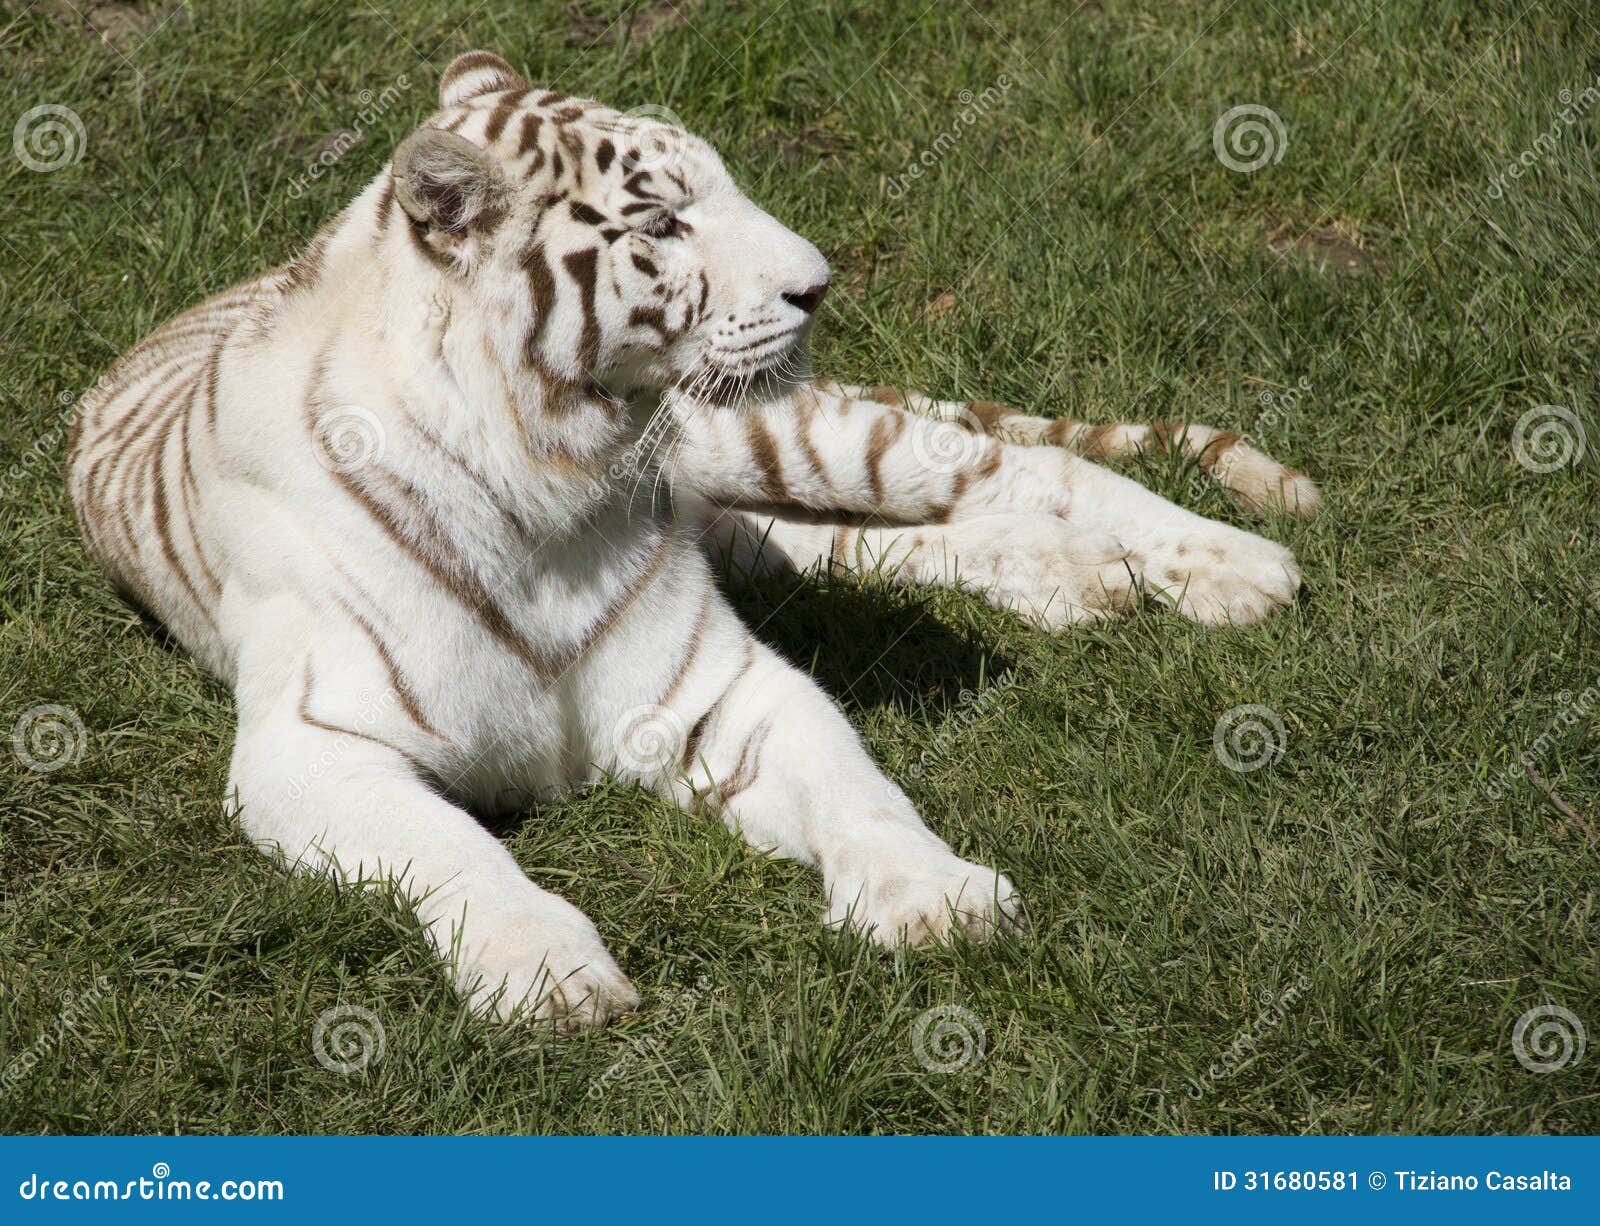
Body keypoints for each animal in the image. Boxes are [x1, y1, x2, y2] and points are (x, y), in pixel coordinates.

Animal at [66, 50, 1319, 1030]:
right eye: (662, 224)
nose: (821, 285)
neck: (552, 480)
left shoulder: (719, 686)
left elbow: (862, 792)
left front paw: (936, 899)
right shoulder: (311, 742)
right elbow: (450, 843)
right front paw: (548, 972)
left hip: (769, 428)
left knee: (1027, 466)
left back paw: (1230, 565)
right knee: (858, 540)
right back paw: (1075, 580)